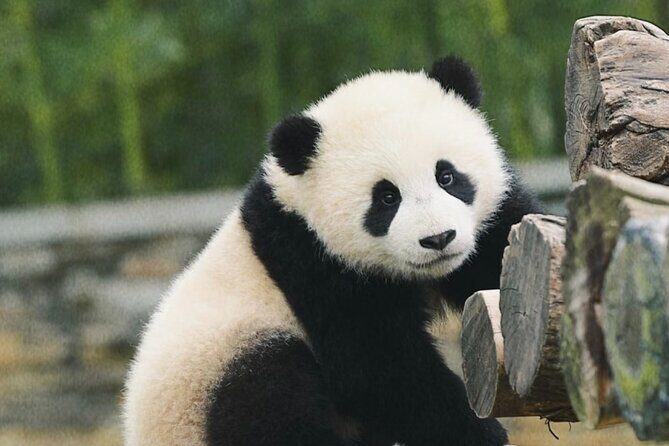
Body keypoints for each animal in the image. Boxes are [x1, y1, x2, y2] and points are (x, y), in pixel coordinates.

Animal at [123, 56, 542, 446]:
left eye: (447, 176)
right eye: (386, 197)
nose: (438, 239)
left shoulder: (483, 232)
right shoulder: (313, 265)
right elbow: (380, 369)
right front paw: (481, 432)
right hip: (216, 369)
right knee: (268, 400)